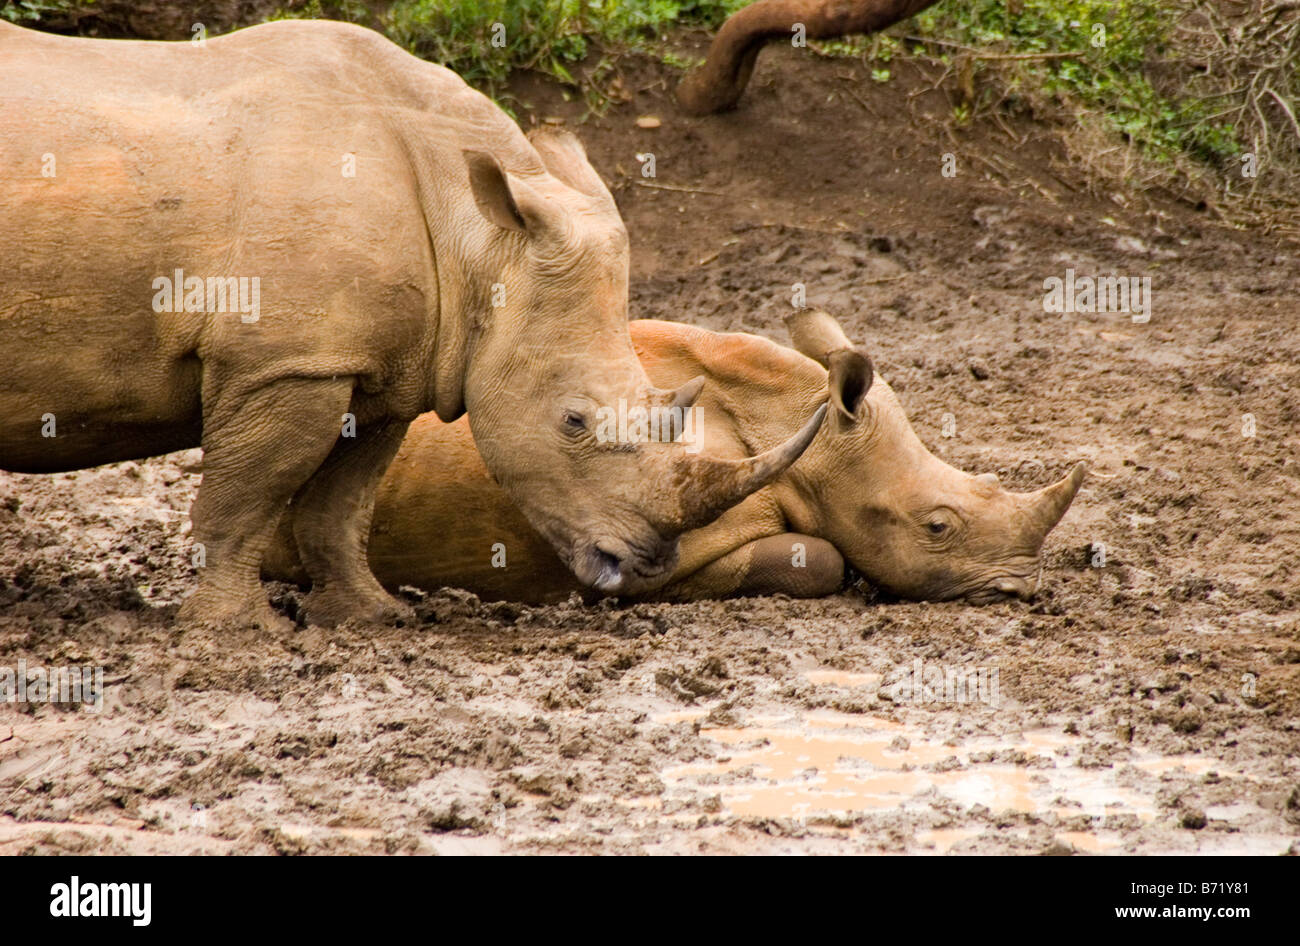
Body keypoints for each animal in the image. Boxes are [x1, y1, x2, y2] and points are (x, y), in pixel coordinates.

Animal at [0, 20, 823, 629]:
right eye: (573, 421)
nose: (650, 564)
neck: (480, 239)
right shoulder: (287, 362)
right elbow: (249, 493)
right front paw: (234, 636)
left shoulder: (373, 365)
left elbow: (340, 504)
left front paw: (373, 620)